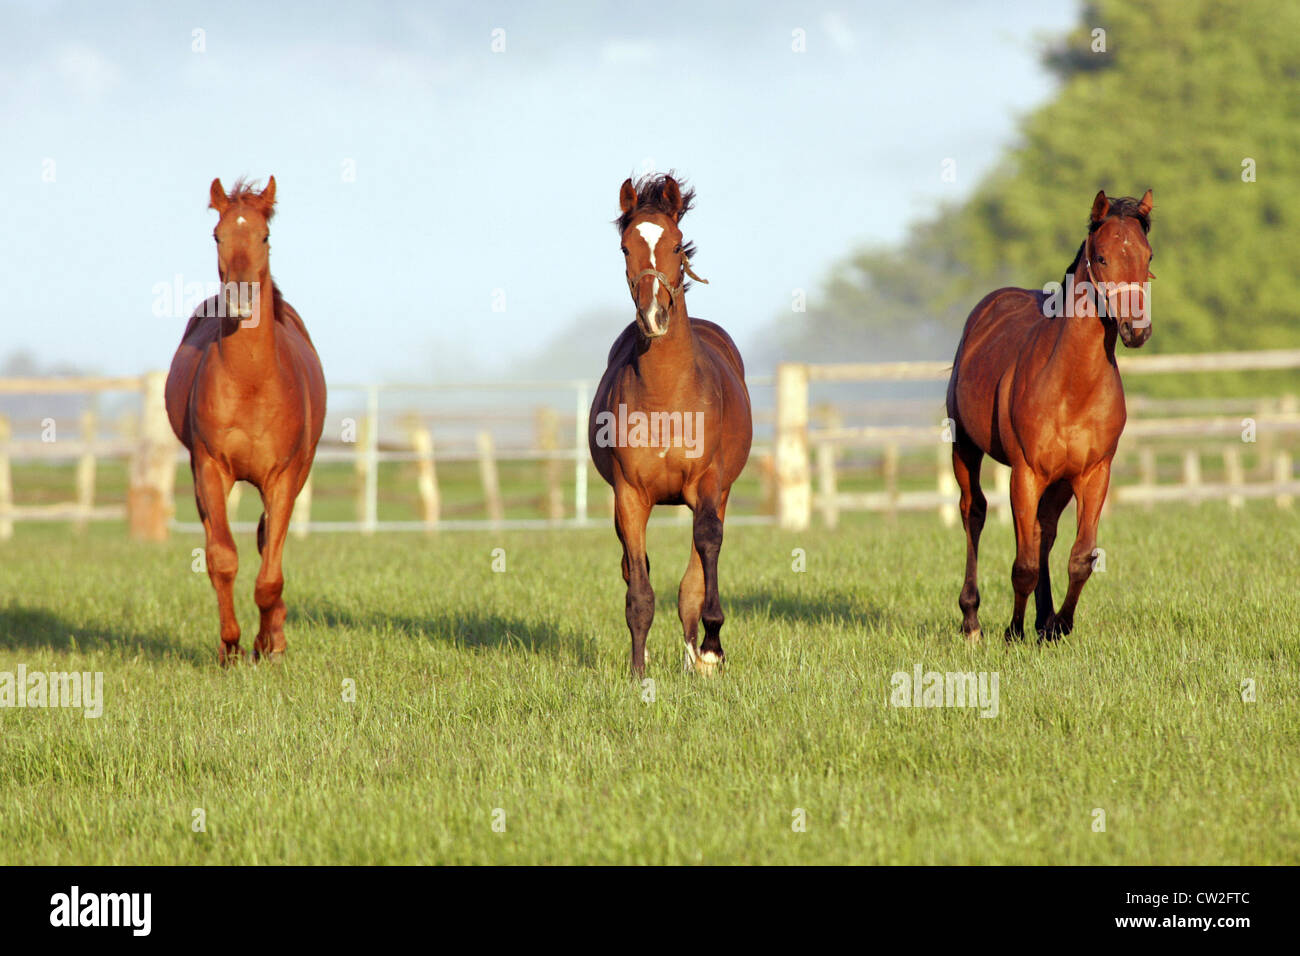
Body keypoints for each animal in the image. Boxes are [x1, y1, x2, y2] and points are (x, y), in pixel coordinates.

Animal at [165, 177, 326, 664]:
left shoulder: (284, 476)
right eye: (217, 236)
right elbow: (222, 558)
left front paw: (268, 644)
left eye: (265, 236)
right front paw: (231, 645)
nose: (239, 299)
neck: (253, 383)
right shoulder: (210, 468)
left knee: (269, 542)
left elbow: (270, 570)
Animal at [588, 173, 753, 676]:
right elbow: (639, 588)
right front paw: (638, 672)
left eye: (677, 244)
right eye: (625, 246)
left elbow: (705, 552)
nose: (654, 316)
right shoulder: (629, 494)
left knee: (695, 574)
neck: (666, 398)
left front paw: (712, 647)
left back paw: (696, 656)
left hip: (720, 492)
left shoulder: (708, 484)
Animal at [946, 189, 1155, 644]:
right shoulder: (1026, 472)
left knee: (1044, 531)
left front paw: (1059, 625)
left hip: (1058, 482)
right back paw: (972, 621)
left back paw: (1043, 620)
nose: (1136, 330)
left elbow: (1080, 557)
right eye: (1102, 258)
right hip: (965, 449)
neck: (1072, 386)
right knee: (974, 513)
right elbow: (1022, 565)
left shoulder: (1093, 474)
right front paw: (1012, 632)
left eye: (1148, 255)